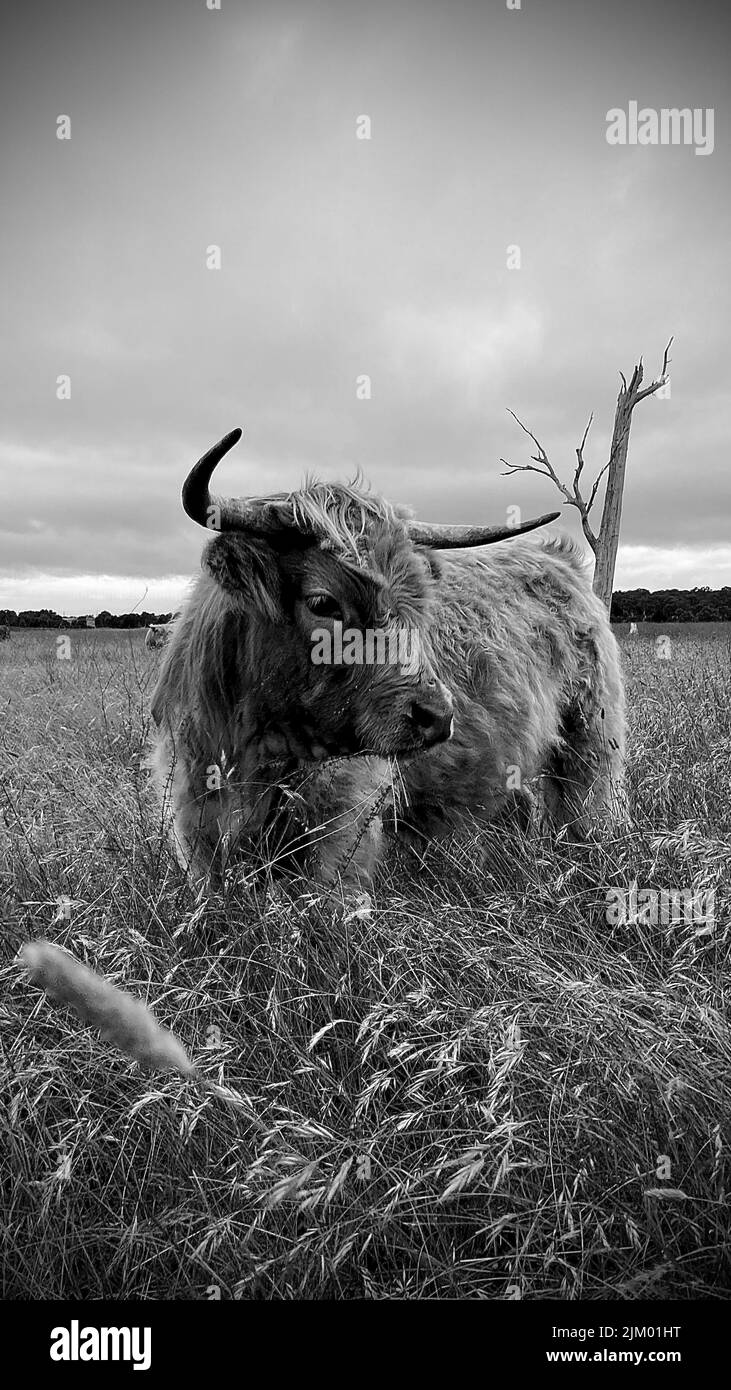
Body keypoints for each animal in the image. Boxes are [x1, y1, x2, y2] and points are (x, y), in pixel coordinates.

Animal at [150, 429, 626, 899]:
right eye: (322, 602)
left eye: (417, 606)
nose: (438, 716)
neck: (255, 741)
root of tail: (558, 559)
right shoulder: (196, 820)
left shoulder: (344, 815)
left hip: (591, 734)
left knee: (586, 806)